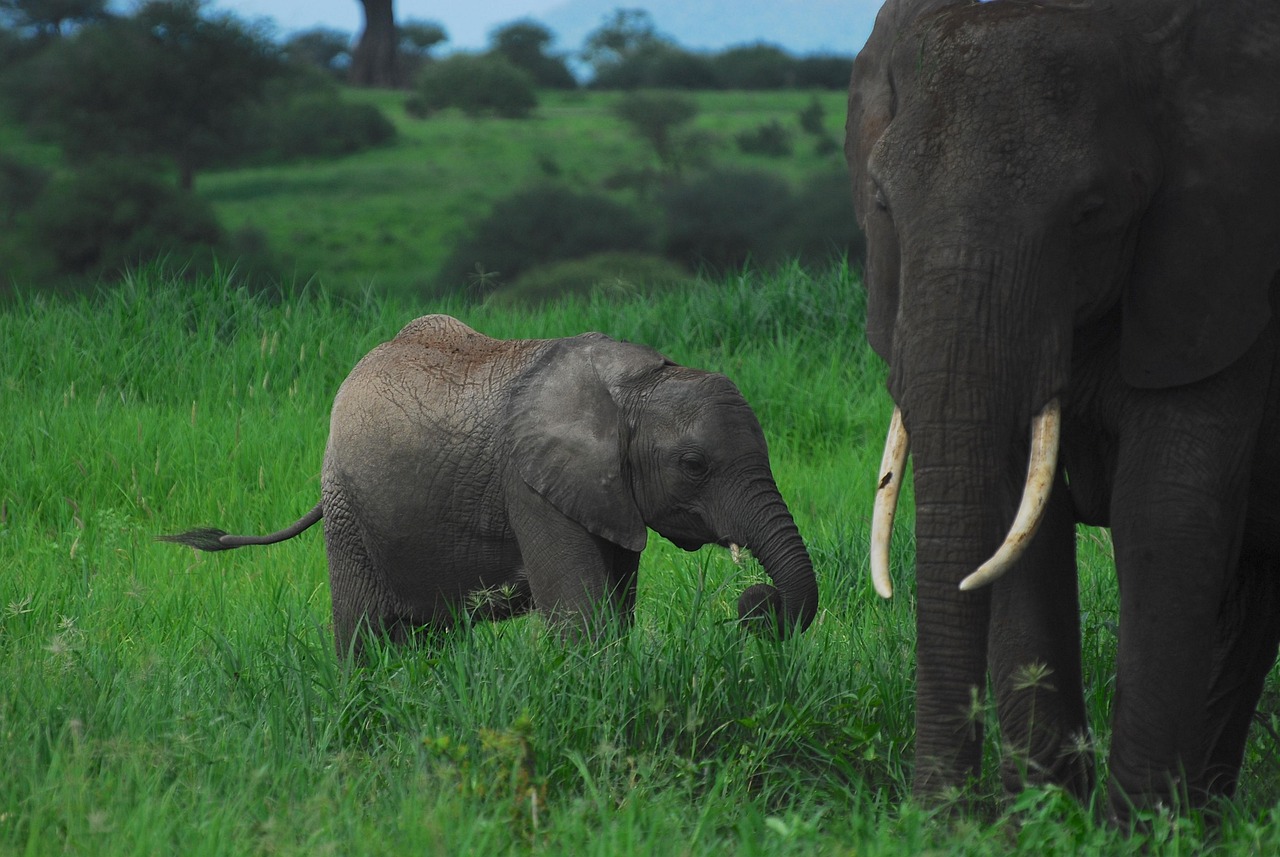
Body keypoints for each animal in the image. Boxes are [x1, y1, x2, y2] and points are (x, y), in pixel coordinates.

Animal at [161, 314, 818, 657]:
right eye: (694, 464)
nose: (753, 605)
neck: (634, 386)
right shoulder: (530, 484)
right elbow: (580, 617)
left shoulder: (605, 493)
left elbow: (615, 606)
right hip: (349, 507)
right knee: (364, 635)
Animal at [846, 0, 1280, 819]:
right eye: (881, 202)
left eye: (1091, 210)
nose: (939, 820)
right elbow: (1023, 524)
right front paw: (1044, 819)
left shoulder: (1228, 269)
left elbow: (1164, 512)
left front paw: (1137, 826)